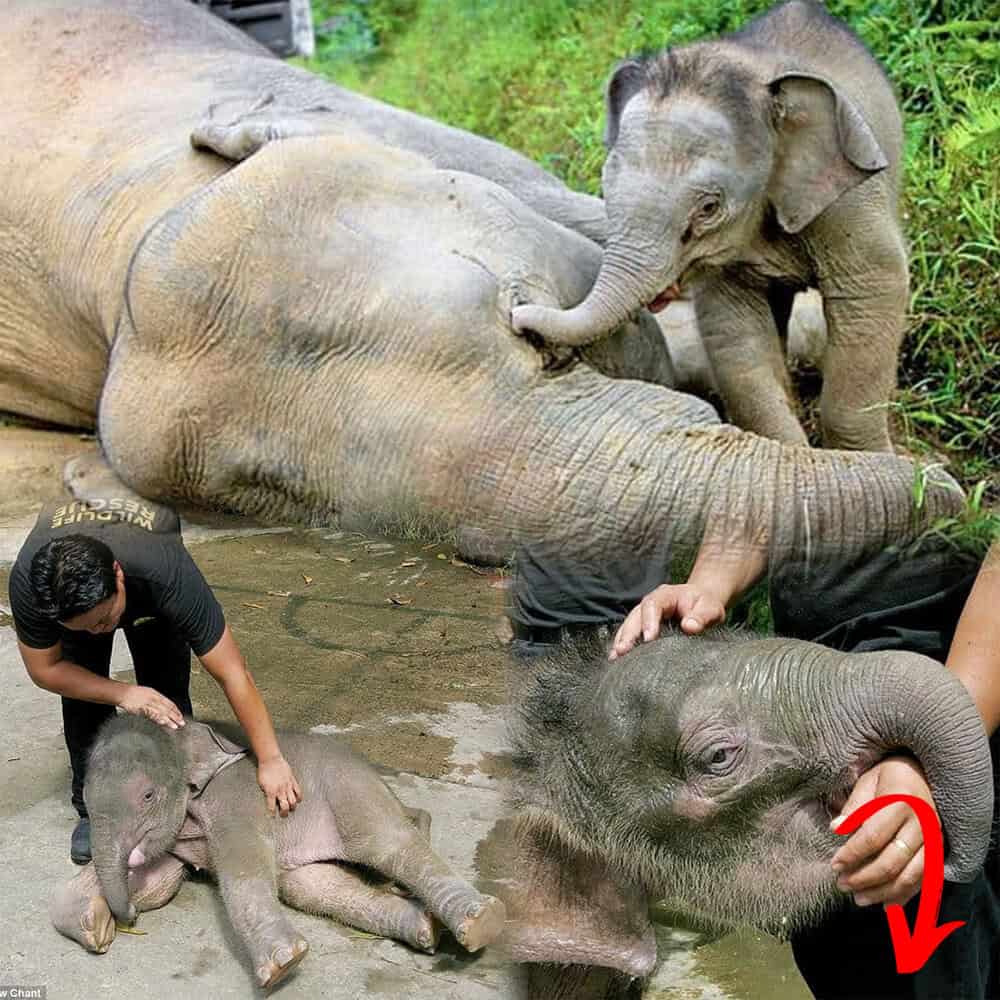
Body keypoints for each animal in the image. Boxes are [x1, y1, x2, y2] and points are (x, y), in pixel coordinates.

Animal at [50, 715, 506, 989]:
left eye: (147, 796)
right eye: (84, 800)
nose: (127, 917)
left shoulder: (237, 798)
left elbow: (245, 865)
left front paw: (284, 964)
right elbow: (162, 884)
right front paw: (95, 926)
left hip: (349, 788)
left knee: (386, 842)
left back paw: (478, 922)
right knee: (311, 886)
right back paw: (425, 927)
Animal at [512, 1, 908, 453]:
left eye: (708, 208)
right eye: (604, 186)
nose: (518, 317)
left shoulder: (850, 200)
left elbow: (873, 290)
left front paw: (870, 458)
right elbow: (734, 329)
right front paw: (792, 453)